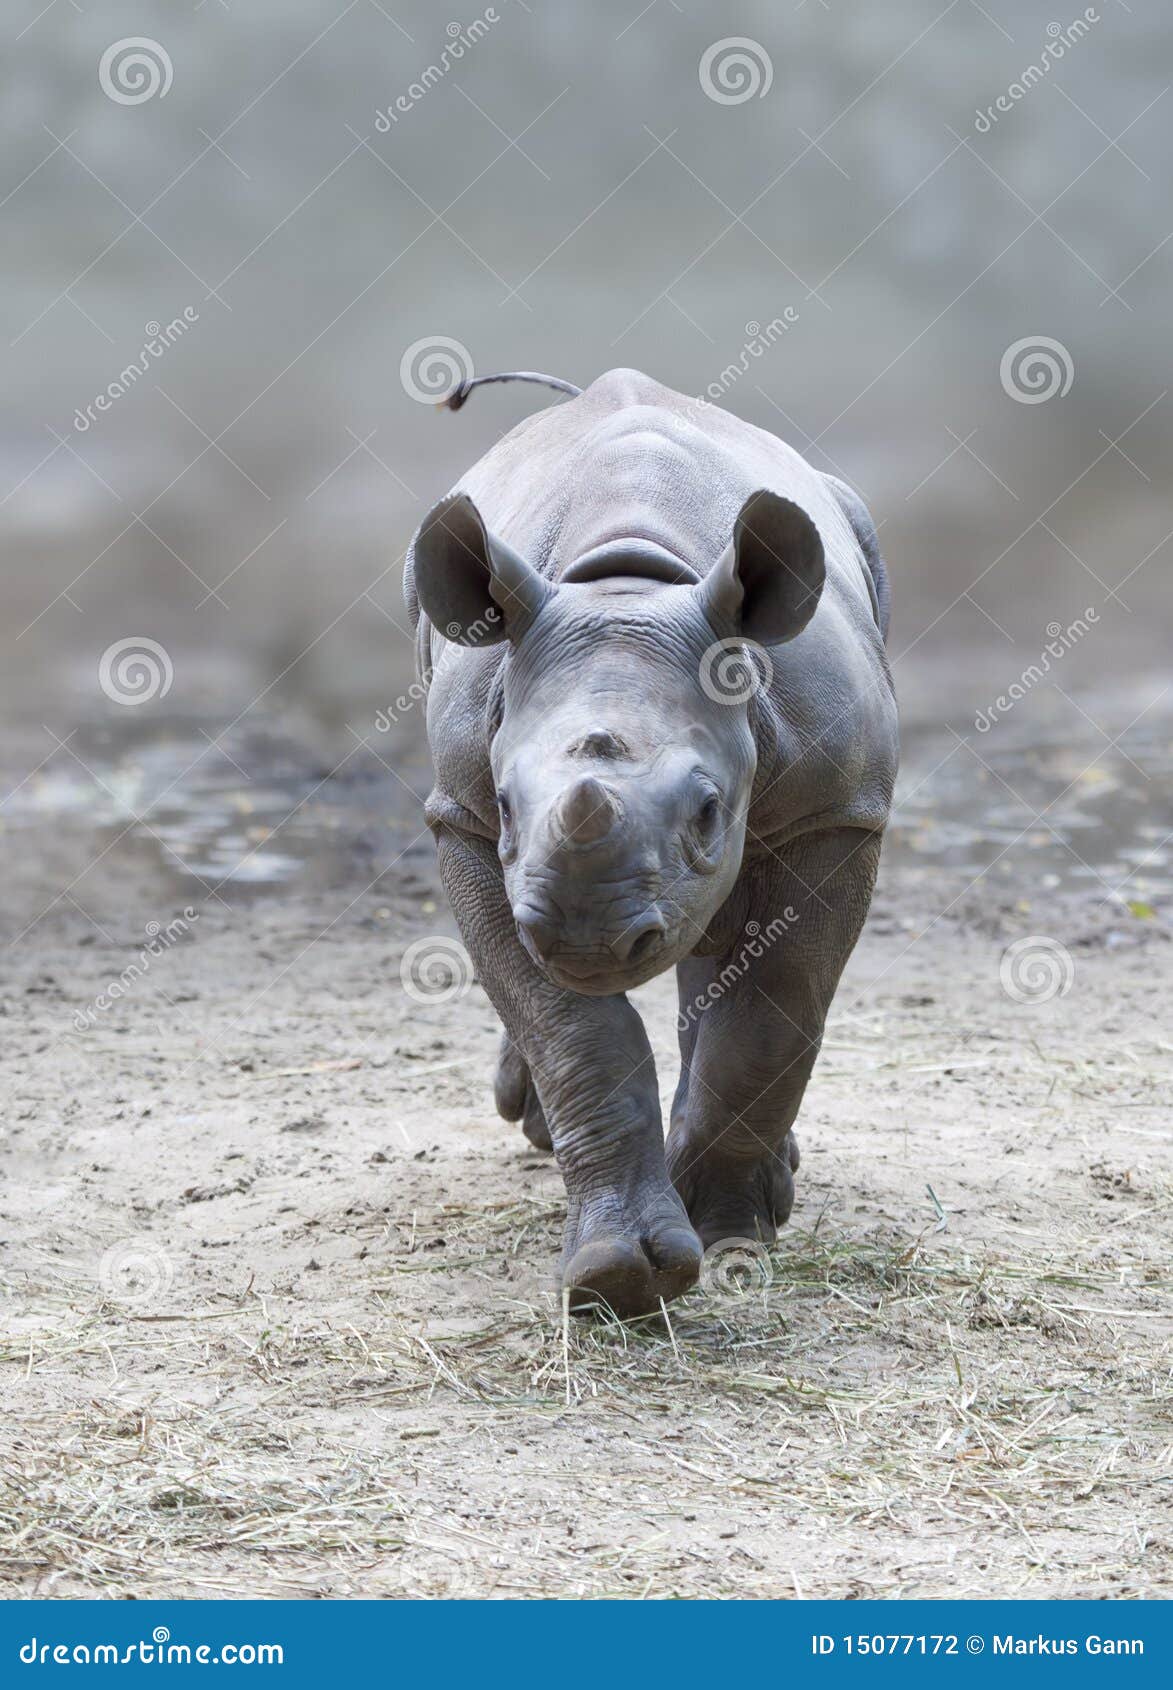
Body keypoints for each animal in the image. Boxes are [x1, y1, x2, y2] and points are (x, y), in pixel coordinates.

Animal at [404, 368, 897, 1317]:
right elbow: (572, 1034)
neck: (627, 592)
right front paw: (620, 1278)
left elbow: (773, 1010)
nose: (586, 940)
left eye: (706, 812)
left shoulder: (836, 811)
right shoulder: (464, 817)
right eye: (510, 807)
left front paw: (728, 1231)